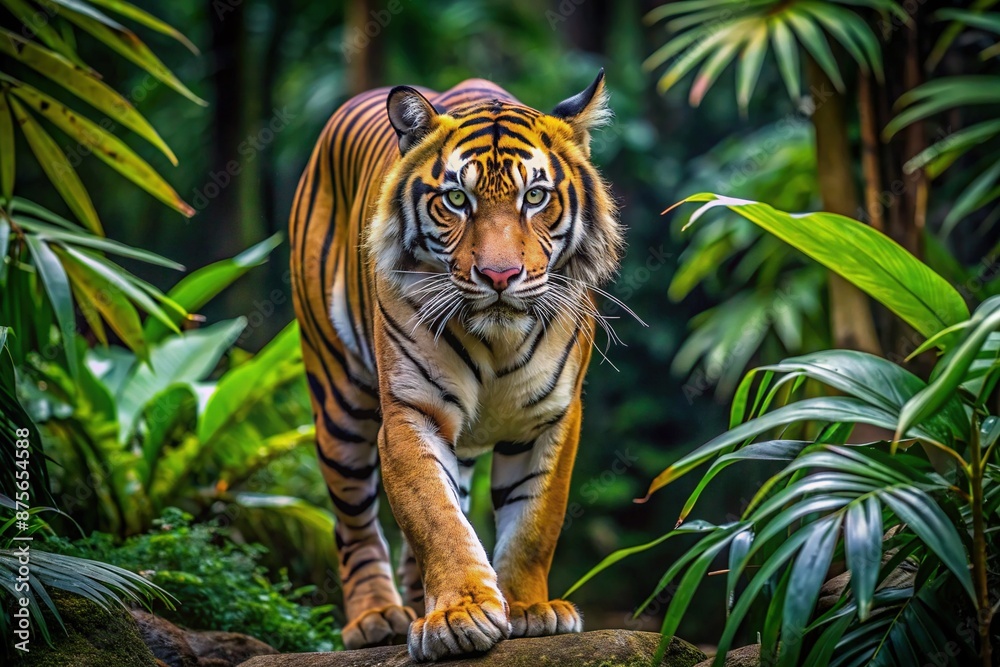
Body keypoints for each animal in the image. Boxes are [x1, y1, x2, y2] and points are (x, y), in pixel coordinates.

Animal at [288, 70, 623, 661]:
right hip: (338, 398)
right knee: (353, 522)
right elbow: (436, 517)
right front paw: (458, 615)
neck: (498, 341)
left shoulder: (552, 417)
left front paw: (530, 608)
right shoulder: (411, 412)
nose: (499, 276)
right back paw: (376, 617)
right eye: (456, 199)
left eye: (535, 196)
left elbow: (534, 521)